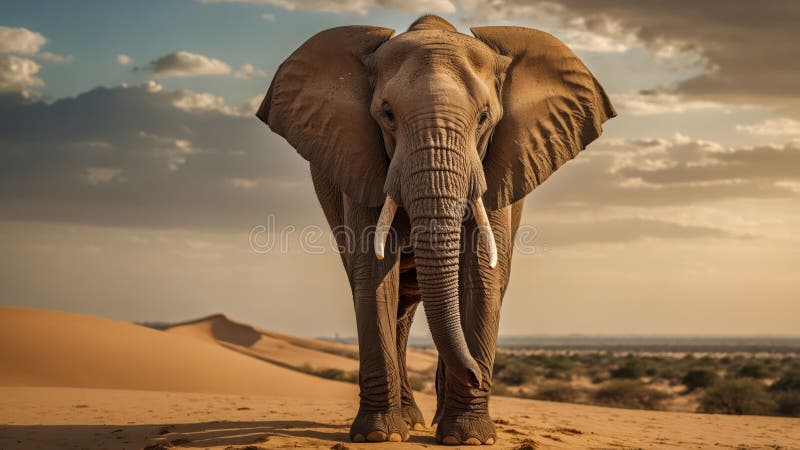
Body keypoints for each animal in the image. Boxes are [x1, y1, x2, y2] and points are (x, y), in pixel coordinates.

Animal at [256, 15, 615, 446]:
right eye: (387, 114)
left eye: (484, 118)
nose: (476, 374)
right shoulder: (360, 161)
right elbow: (374, 274)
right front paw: (380, 436)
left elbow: (481, 275)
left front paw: (470, 439)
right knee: (397, 304)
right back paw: (410, 422)